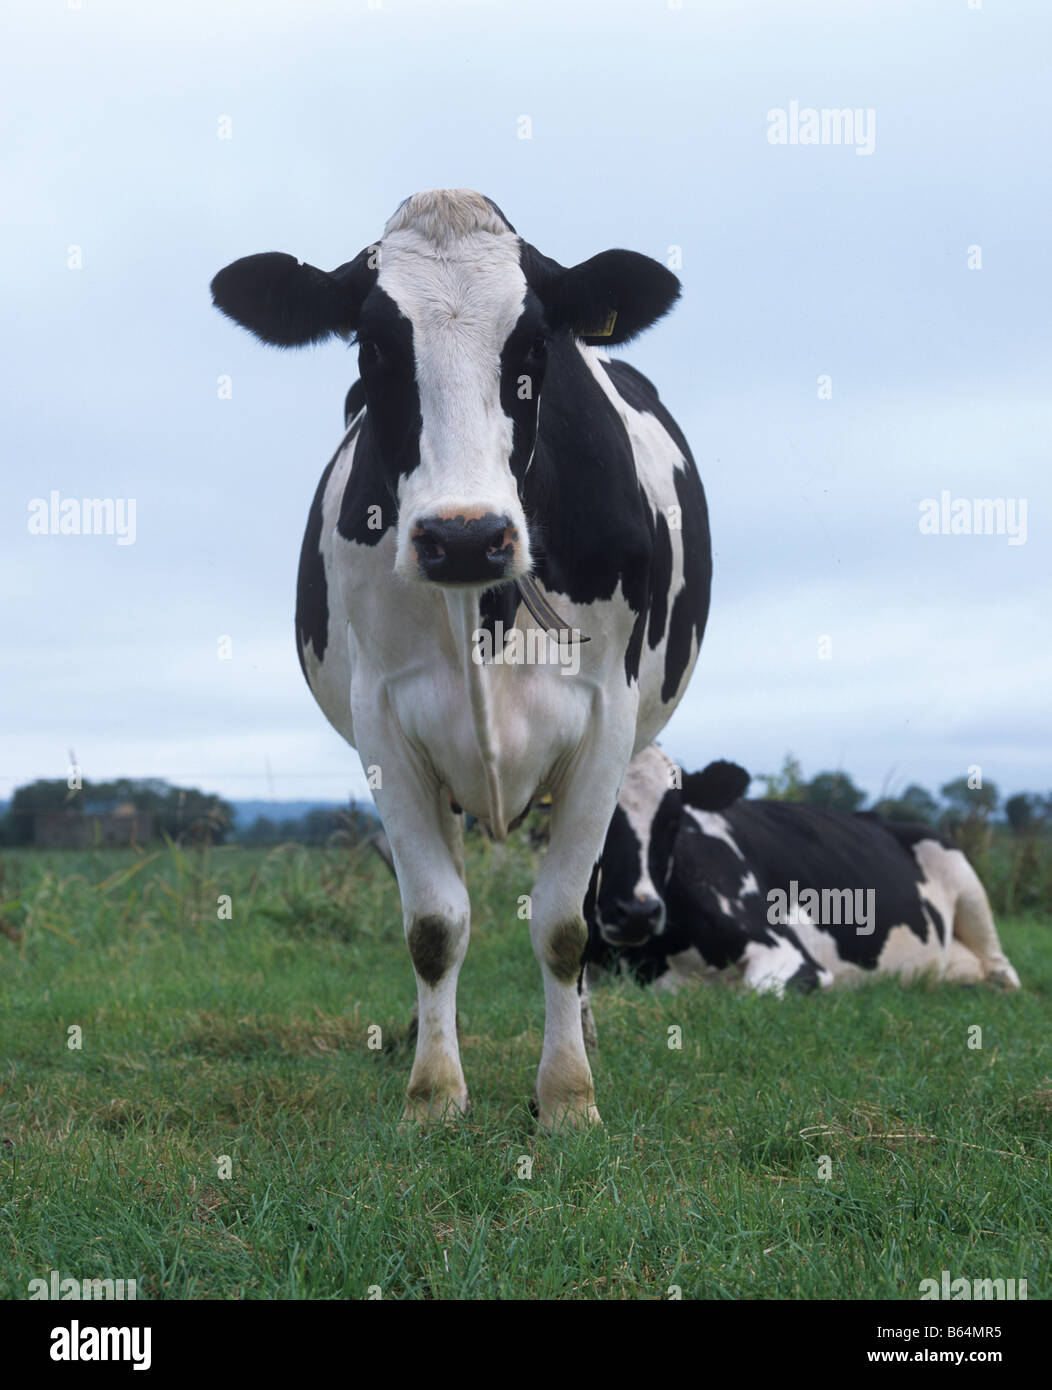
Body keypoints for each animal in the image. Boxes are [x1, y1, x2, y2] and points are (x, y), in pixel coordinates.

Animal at [211, 190, 711, 1127]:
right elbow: (435, 923)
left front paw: (568, 1095)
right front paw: (434, 1091)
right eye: (372, 346)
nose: (467, 537)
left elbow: (563, 924)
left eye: (534, 345)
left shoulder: (605, 720)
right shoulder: (385, 723)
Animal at [586, 743, 1021, 996]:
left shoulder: (786, 949)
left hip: (961, 874)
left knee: (1001, 965)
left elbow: (754, 990)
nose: (637, 912)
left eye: (674, 819)